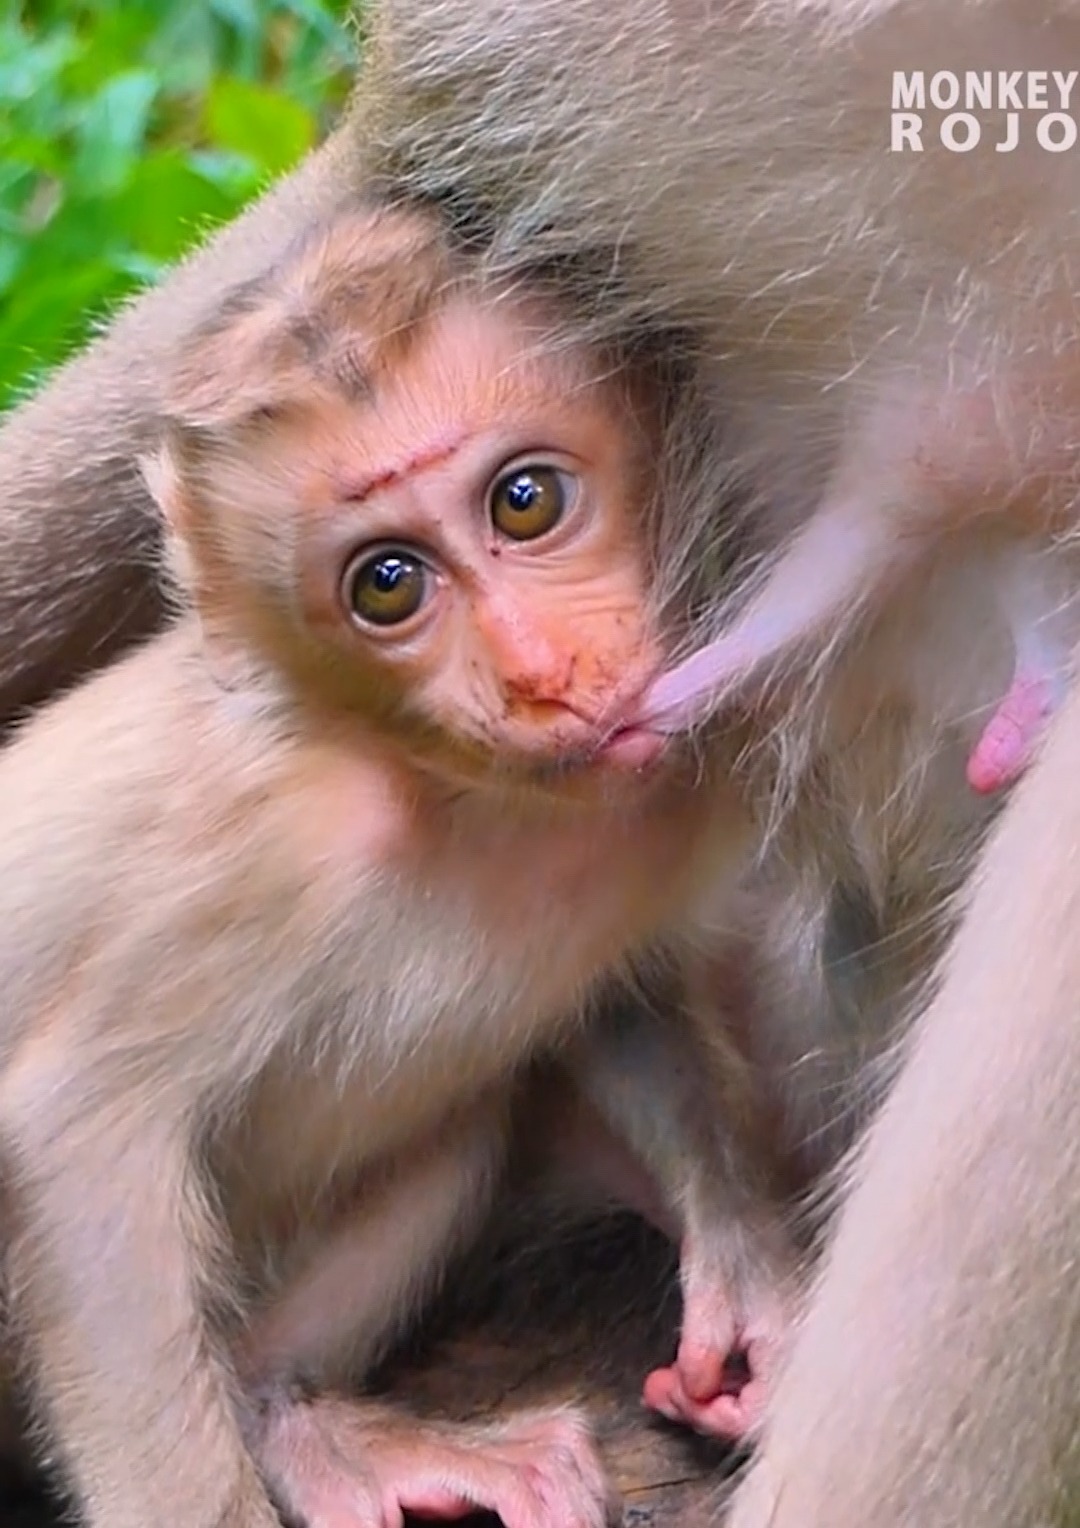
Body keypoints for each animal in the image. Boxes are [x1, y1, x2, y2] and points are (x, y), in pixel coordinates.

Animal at [0, 199, 804, 1528]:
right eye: (387, 583)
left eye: (525, 502)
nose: (537, 675)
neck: (467, 796)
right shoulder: (267, 850)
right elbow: (77, 1136)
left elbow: (623, 1005)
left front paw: (747, 1271)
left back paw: (294, 1418)